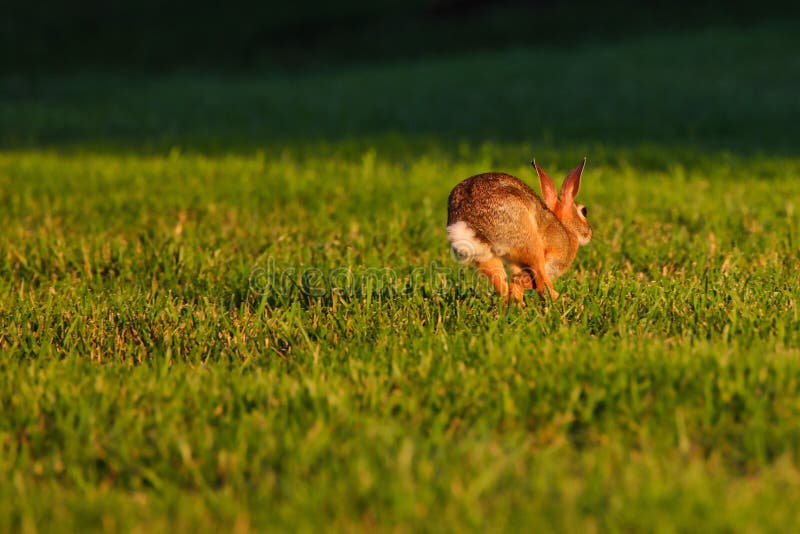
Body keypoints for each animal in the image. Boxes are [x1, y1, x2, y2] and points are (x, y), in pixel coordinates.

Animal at [447, 158, 591, 302]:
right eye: (584, 211)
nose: (590, 233)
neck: (565, 228)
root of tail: (468, 221)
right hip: (530, 243)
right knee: (541, 283)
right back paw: (562, 299)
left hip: (486, 257)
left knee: (503, 286)